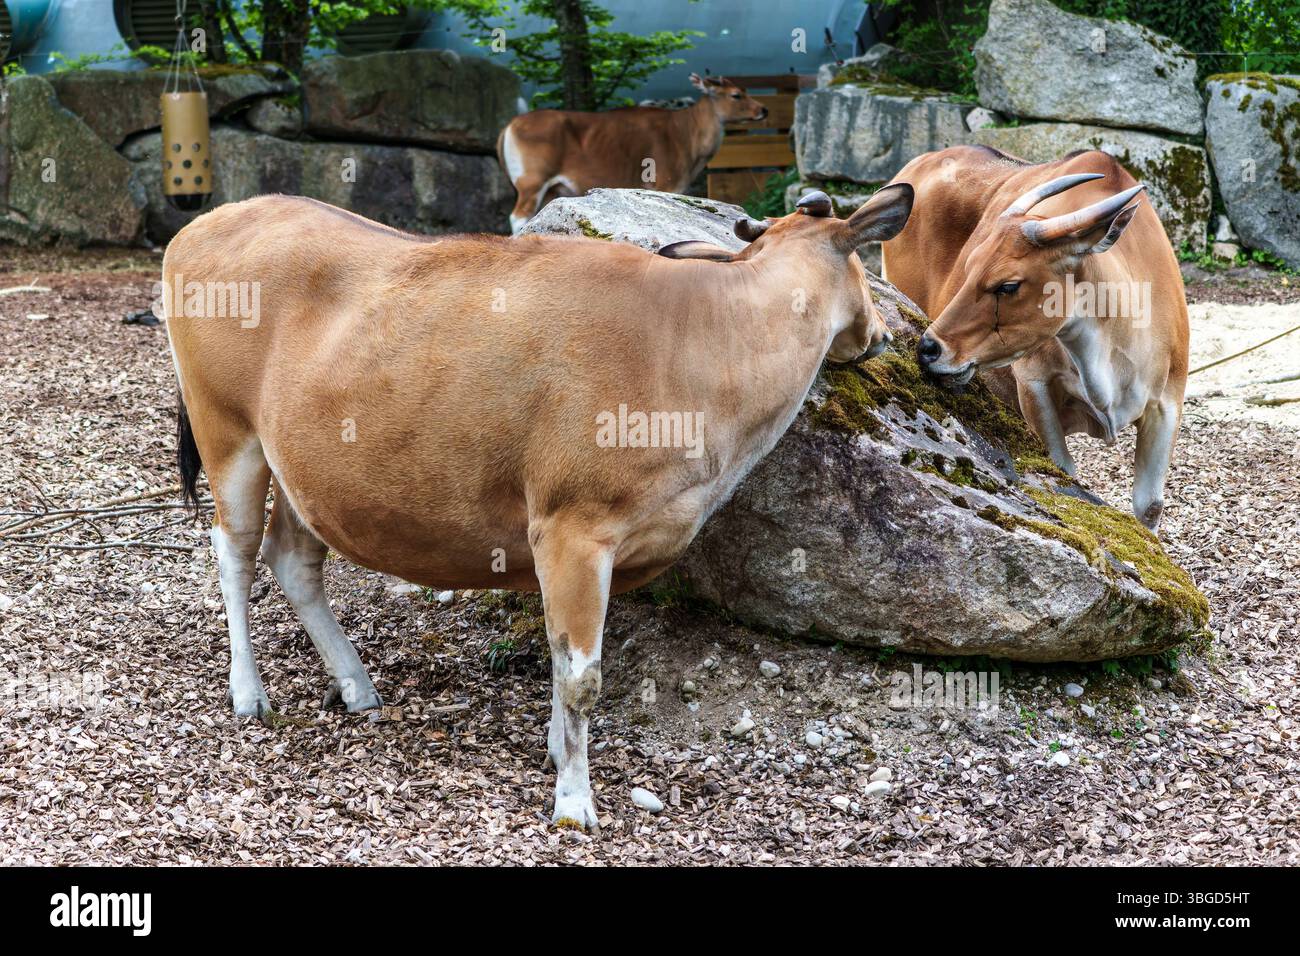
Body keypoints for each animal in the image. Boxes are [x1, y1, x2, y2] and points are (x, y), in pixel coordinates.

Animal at [162, 185, 913, 830]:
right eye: (863, 267)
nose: (886, 334)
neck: (699, 339)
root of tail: (204, 225)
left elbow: (559, 657)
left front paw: (556, 750)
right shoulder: (572, 527)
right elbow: (581, 676)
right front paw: (574, 802)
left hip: (302, 464)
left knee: (293, 558)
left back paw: (356, 685)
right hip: (228, 434)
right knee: (233, 553)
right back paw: (249, 694)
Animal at [497, 74, 768, 233]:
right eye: (736, 95)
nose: (763, 109)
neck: (684, 131)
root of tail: (512, 123)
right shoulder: (665, 185)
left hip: (550, 191)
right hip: (531, 183)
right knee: (517, 218)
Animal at [881, 146, 1189, 531]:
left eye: (1008, 285)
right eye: (968, 267)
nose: (929, 349)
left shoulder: (1167, 405)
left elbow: (1150, 506)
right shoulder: (1035, 387)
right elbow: (1064, 477)